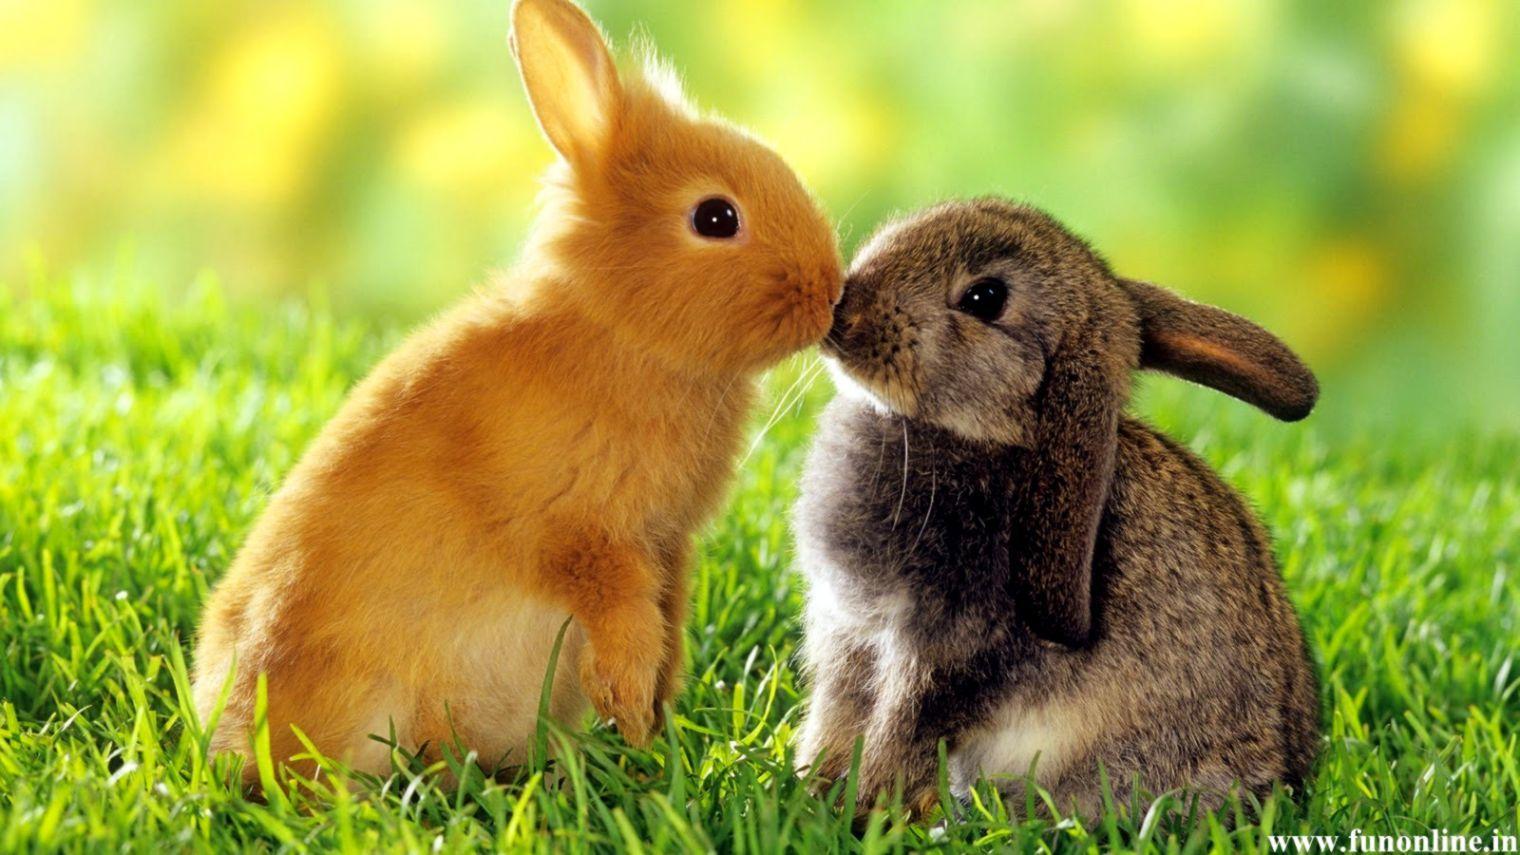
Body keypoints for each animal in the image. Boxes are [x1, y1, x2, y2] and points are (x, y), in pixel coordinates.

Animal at [192, 0, 842, 785]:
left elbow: (667, 623)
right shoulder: (583, 536)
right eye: (715, 218)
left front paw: (652, 725)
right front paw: (630, 713)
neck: (619, 332)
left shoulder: (667, 546)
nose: (831, 293)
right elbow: (622, 619)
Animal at [791, 197, 1320, 818]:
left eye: (985, 298)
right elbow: (837, 719)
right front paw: (811, 790)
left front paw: (860, 809)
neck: (994, 436)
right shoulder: (849, 635)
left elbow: (901, 732)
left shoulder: (946, 650)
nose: (843, 313)